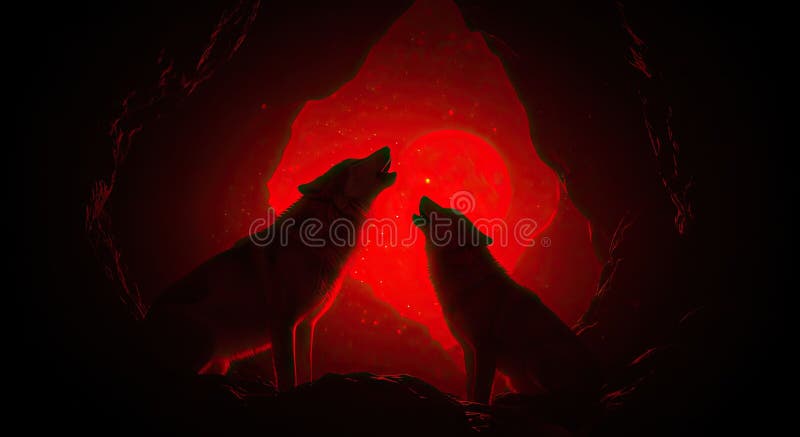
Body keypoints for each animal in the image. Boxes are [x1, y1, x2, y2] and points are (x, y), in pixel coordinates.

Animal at [145, 147, 396, 391]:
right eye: (356, 163)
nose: (386, 147)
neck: (319, 241)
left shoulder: (305, 325)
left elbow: (304, 373)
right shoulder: (283, 323)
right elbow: (287, 377)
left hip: (219, 361)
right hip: (206, 343)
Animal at [413, 196, 600, 403]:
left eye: (447, 212)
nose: (423, 196)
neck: (469, 283)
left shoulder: (485, 348)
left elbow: (481, 390)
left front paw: (478, 405)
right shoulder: (469, 350)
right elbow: (470, 387)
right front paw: (469, 402)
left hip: (534, 360)